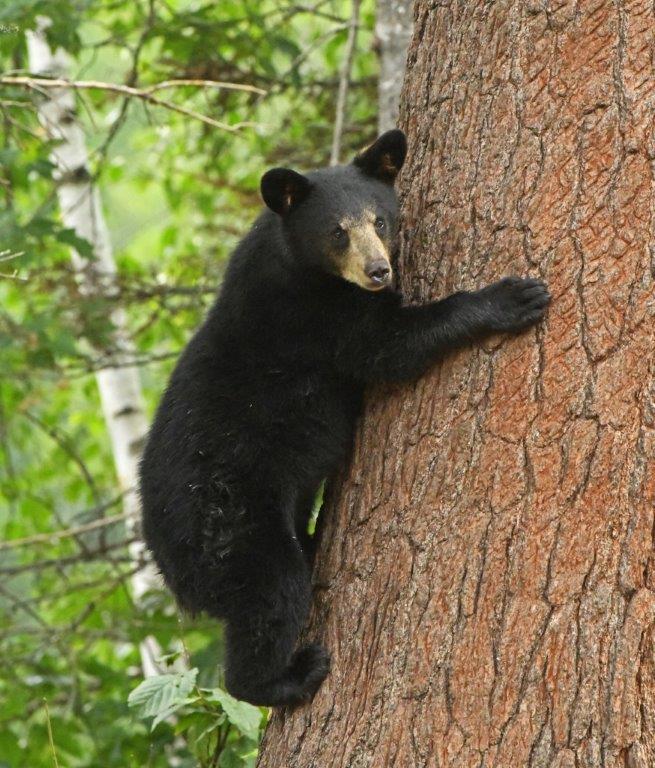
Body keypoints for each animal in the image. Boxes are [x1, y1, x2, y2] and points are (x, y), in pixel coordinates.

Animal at [139, 129, 550, 707]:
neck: (293, 262)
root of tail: (166, 563)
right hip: (230, 523)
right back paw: (289, 676)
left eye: (379, 220)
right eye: (337, 231)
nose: (379, 271)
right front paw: (511, 297)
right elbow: (388, 346)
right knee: (270, 597)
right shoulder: (316, 318)